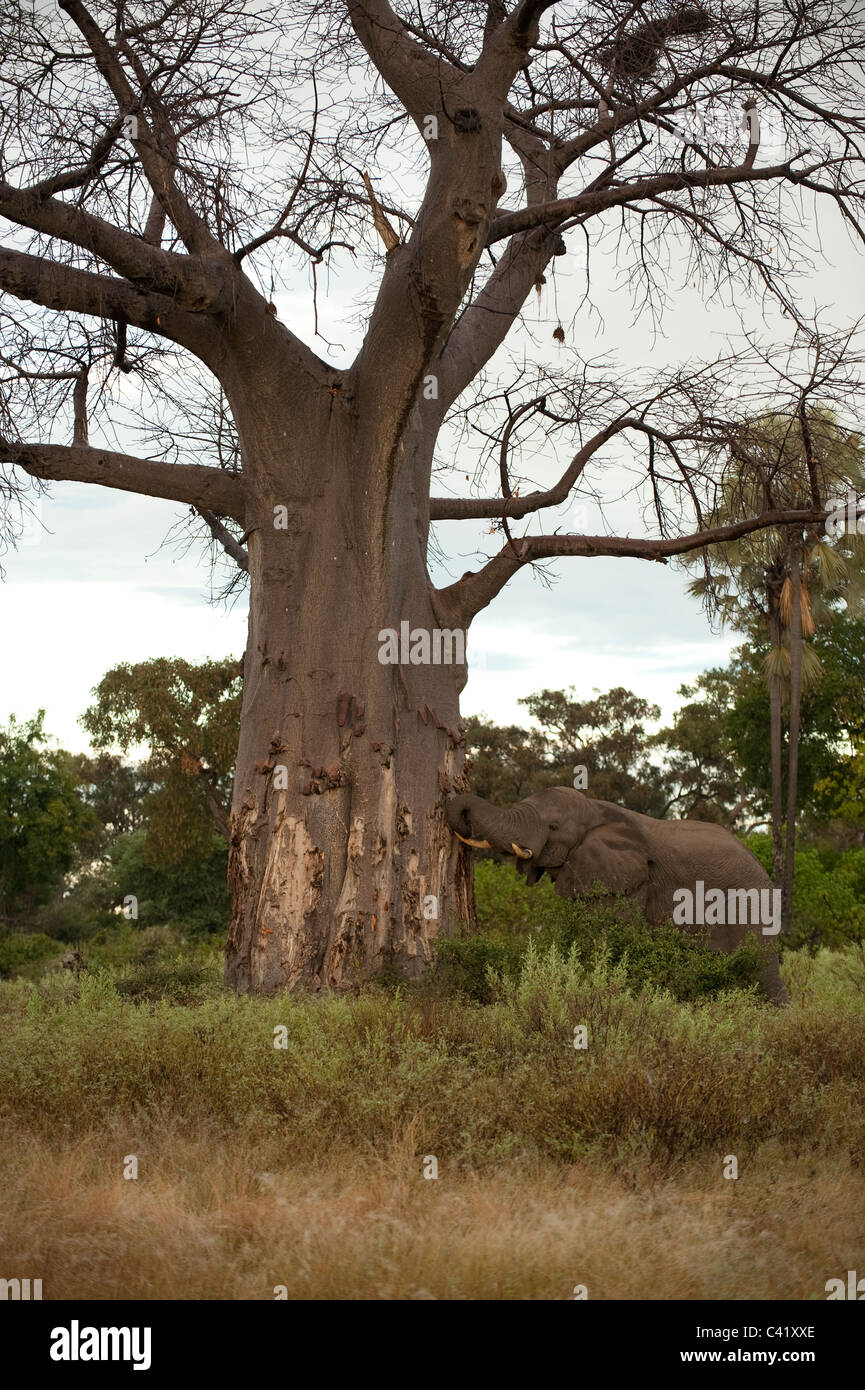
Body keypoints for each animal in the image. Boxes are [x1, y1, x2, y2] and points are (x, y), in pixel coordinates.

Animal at [445, 786, 788, 1004]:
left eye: (553, 827)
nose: (452, 798)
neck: (595, 808)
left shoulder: (631, 883)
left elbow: (608, 937)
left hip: (751, 904)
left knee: (763, 970)